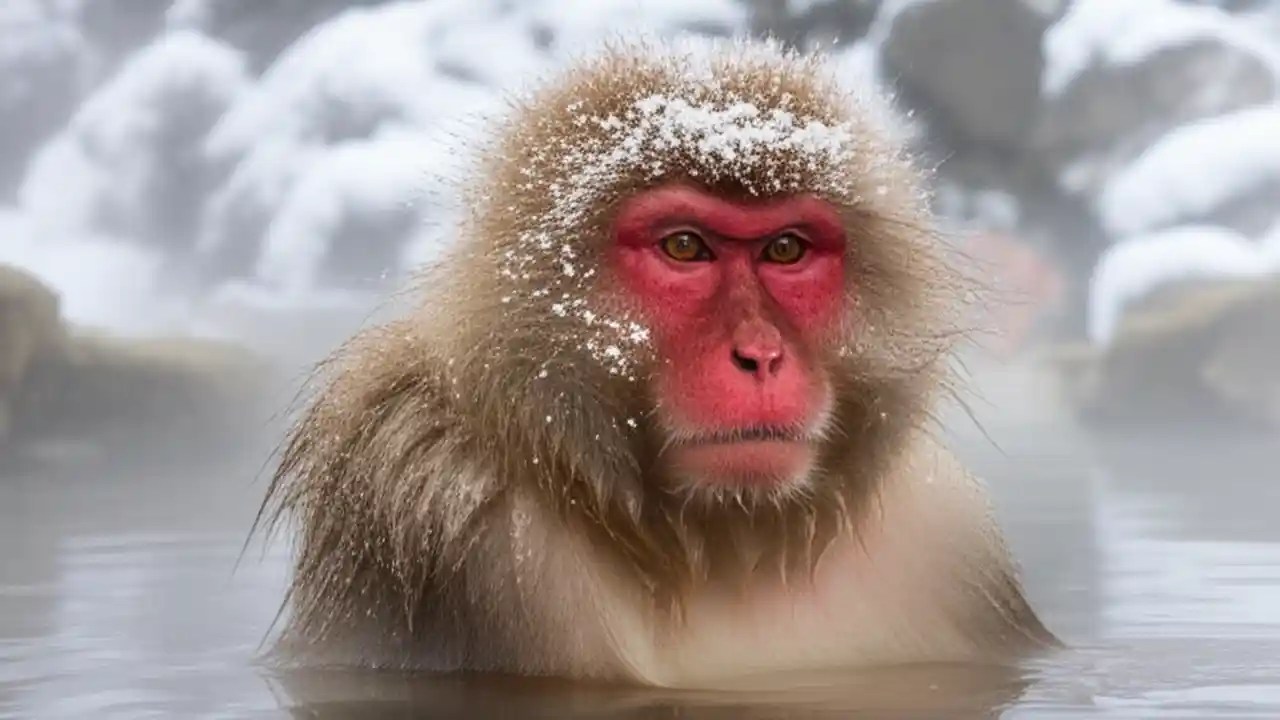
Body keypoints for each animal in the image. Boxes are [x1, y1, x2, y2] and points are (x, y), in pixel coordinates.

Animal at [258, 40, 1057, 688]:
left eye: (787, 249)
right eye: (684, 247)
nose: (760, 355)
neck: (718, 552)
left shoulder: (952, 539)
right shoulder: (434, 503)